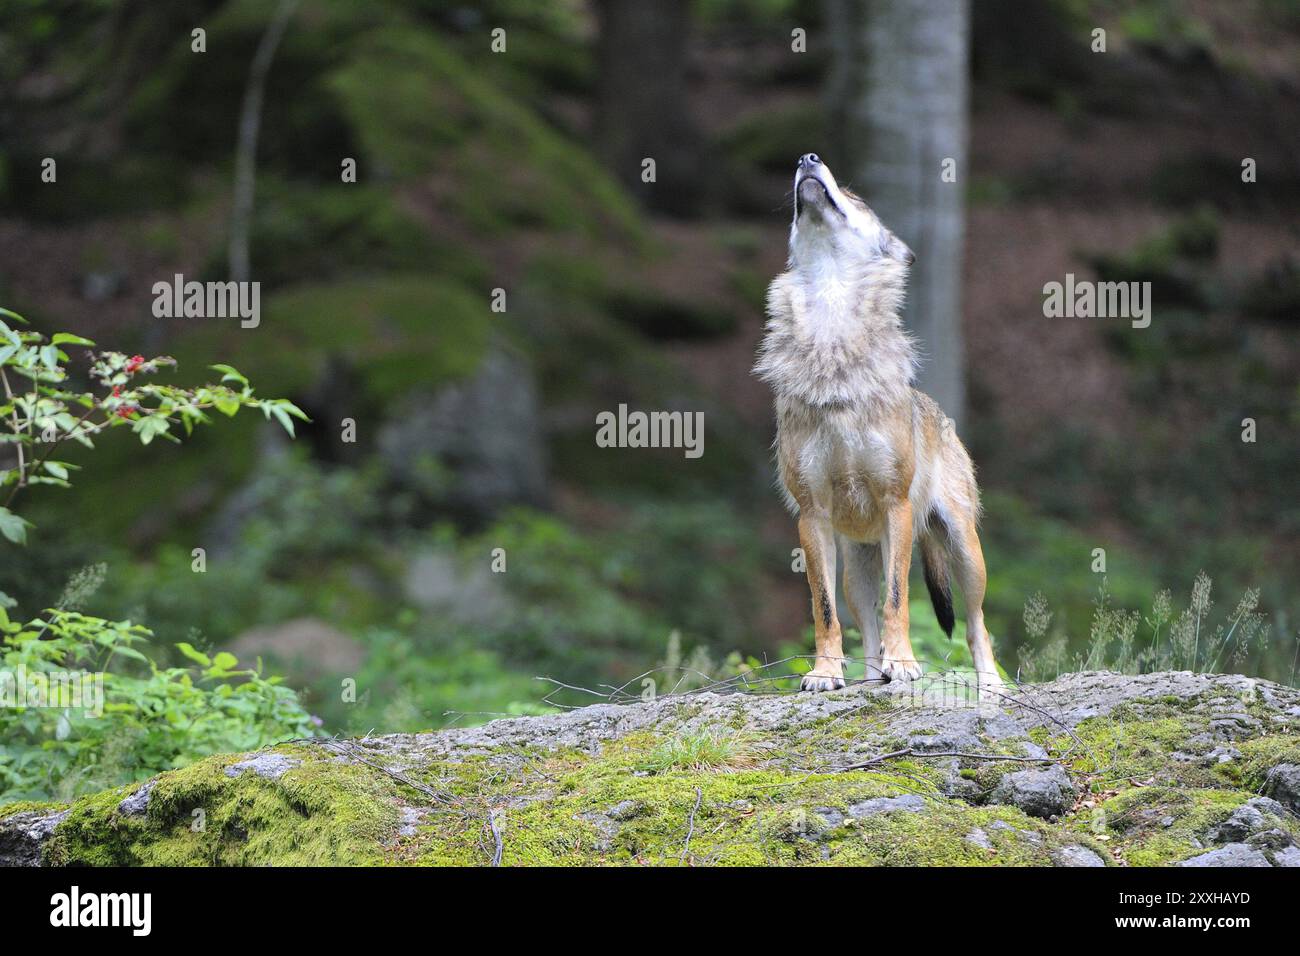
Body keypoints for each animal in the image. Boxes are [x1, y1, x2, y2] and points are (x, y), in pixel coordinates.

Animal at [754, 153, 1002, 692]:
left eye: (855, 196)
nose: (807, 158)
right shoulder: (812, 517)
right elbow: (823, 610)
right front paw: (825, 673)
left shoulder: (896, 505)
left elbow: (899, 600)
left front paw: (905, 664)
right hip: (855, 569)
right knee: (865, 630)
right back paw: (869, 682)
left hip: (963, 549)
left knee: (976, 622)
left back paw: (991, 684)